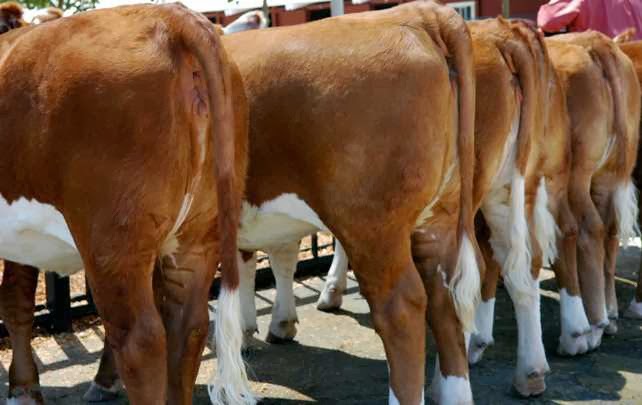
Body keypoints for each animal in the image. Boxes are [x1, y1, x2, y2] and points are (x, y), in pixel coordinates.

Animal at [0, 4, 253, 404]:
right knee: (188, 327)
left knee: (140, 340)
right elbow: (16, 298)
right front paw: (24, 387)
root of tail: (170, 18)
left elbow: (12, 302)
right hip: (198, 232)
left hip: (113, 240)